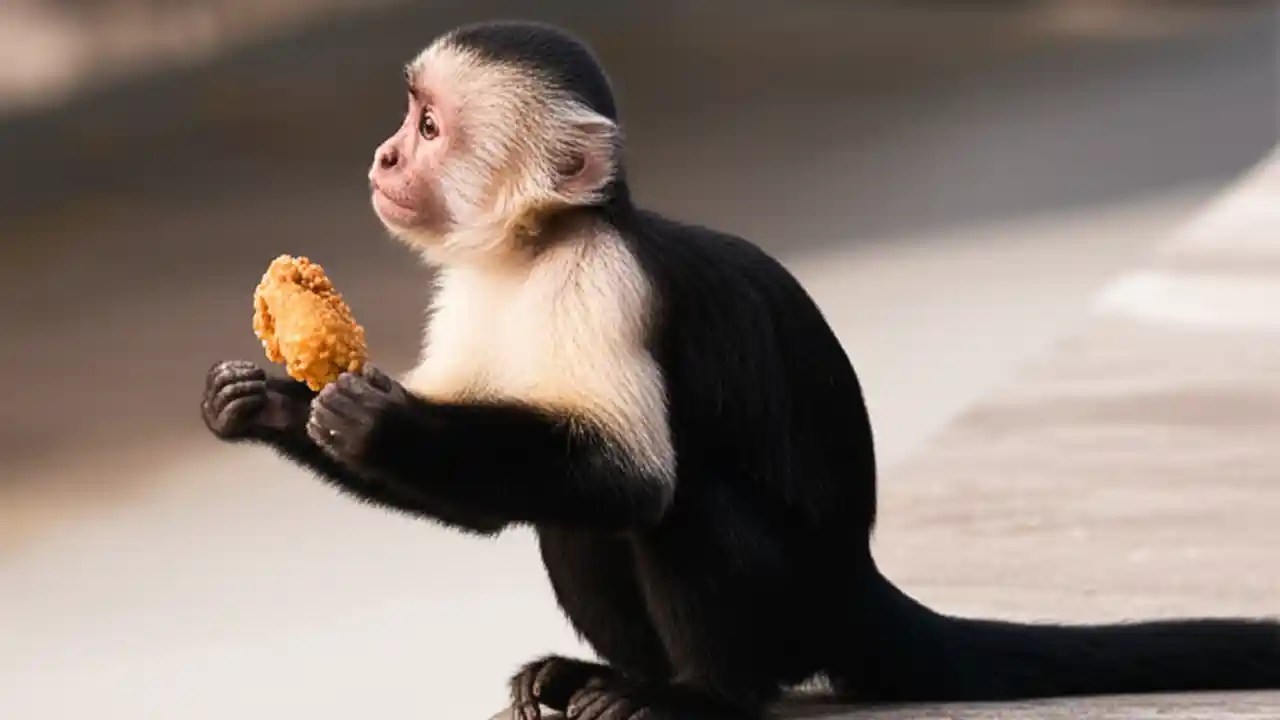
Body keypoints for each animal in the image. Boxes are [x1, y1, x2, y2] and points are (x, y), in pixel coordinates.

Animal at [201, 20, 1280, 720]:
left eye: (428, 128)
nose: (386, 156)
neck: (539, 248)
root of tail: (858, 584)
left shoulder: (604, 281)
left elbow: (635, 480)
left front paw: (380, 421)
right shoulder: (467, 289)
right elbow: (522, 494)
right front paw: (272, 405)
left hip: (795, 607)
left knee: (683, 503)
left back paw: (692, 696)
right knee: (568, 515)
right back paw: (586, 678)